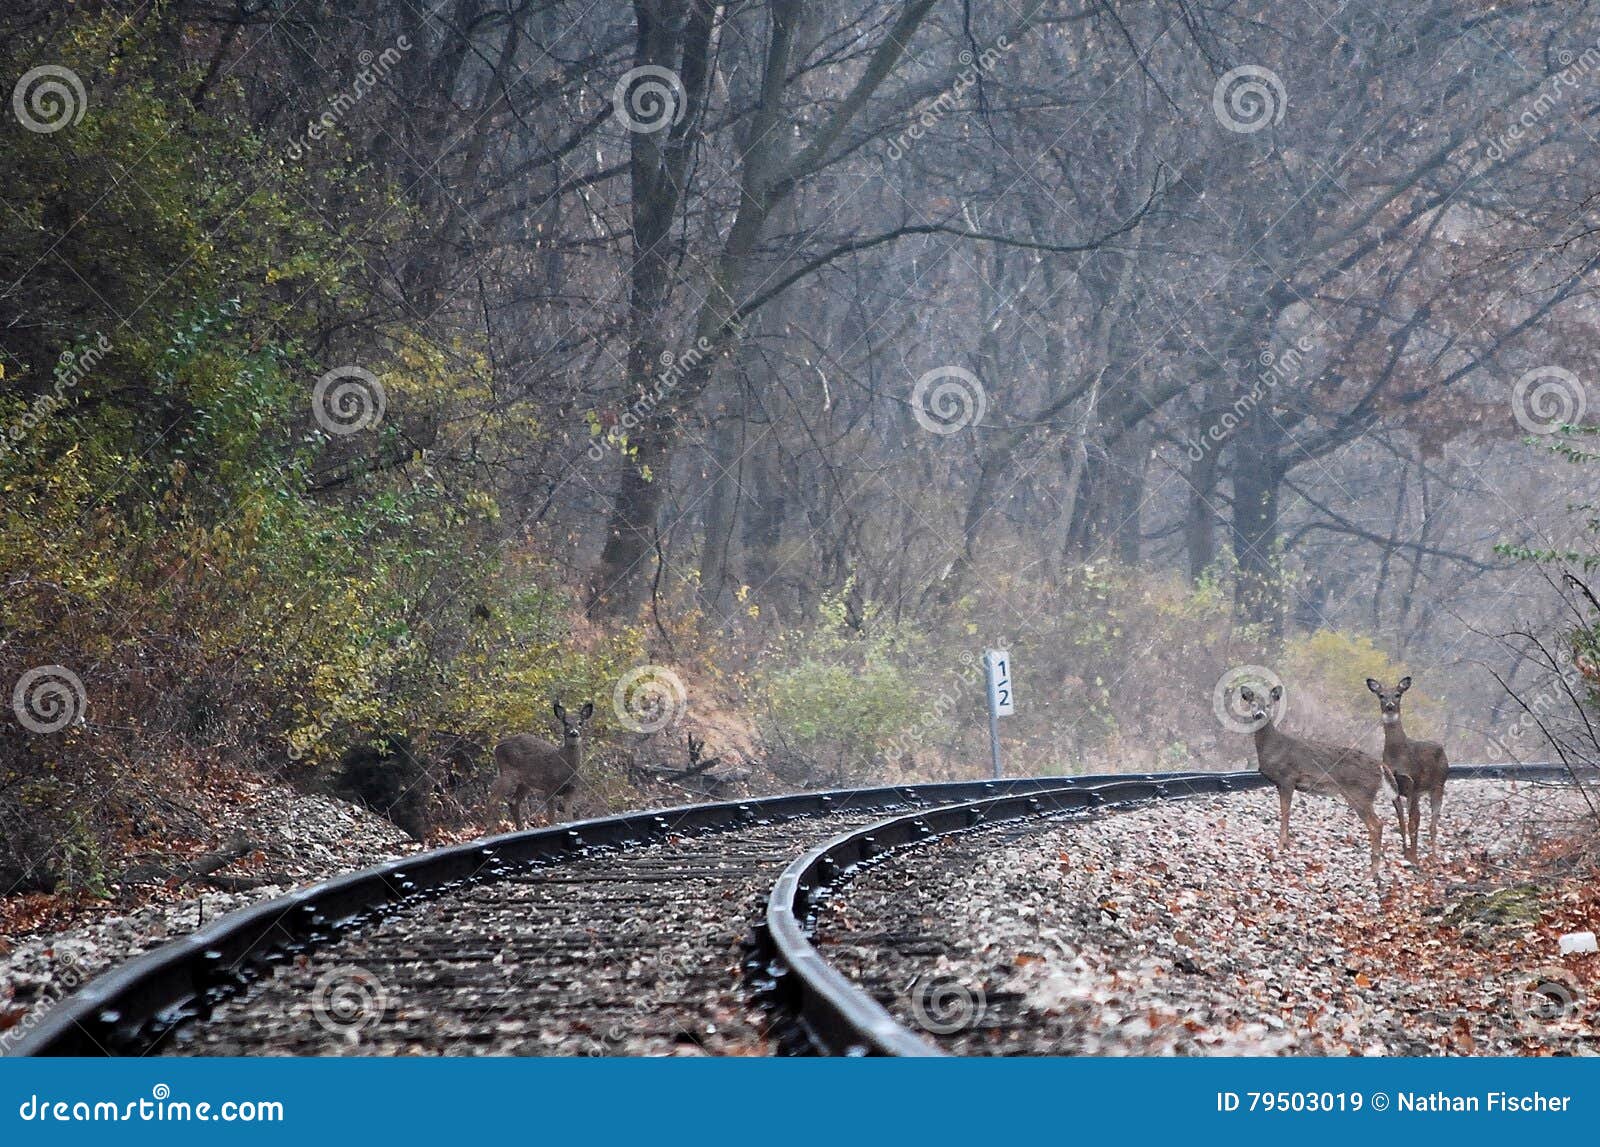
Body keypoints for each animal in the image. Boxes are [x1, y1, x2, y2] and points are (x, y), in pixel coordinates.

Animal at [490, 700, 593, 829]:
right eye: (566, 723)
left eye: (580, 723)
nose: (573, 733)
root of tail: (496, 747)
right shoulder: (549, 787)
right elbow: (551, 819)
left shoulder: (571, 790)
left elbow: (569, 818)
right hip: (508, 772)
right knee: (493, 800)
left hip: (525, 782)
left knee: (513, 802)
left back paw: (520, 828)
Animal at [1236, 684, 1392, 880]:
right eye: (1253, 703)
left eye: (1269, 704)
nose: (1259, 715)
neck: (1273, 747)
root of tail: (1381, 767)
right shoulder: (1282, 783)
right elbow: (1285, 811)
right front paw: (1287, 844)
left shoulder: (1288, 777)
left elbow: (1285, 812)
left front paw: (1281, 845)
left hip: (1360, 793)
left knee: (1377, 824)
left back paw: (1371, 872)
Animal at [1365, 676, 1449, 862]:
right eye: (1381, 695)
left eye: (1398, 694)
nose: (1390, 705)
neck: (1399, 755)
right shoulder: (1394, 788)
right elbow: (1402, 822)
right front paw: (1405, 852)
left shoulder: (1413, 784)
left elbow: (1411, 822)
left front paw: (1413, 856)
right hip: (1421, 791)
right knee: (1419, 817)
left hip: (1438, 784)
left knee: (1432, 822)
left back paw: (1433, 856)